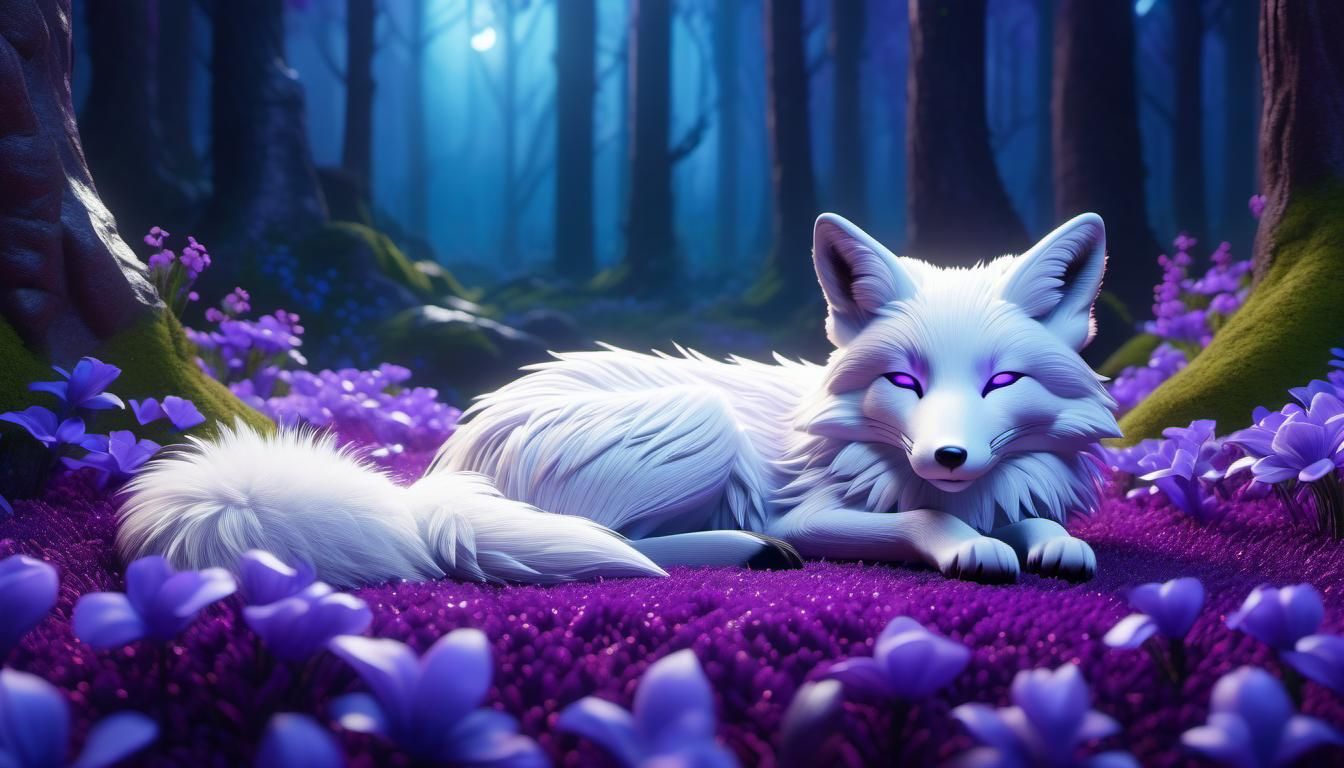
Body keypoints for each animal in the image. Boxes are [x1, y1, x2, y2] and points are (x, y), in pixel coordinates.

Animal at [118, 212, 1121, 588]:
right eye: (905, 382)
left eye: (1000, 382)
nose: (946, 456)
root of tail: (449, 463)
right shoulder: (818, 505)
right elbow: (922, 524)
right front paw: (969, 544)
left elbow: (1032, 516)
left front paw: (1050, 540)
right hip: (700, 427)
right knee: (618, 548)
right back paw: (748, 549)